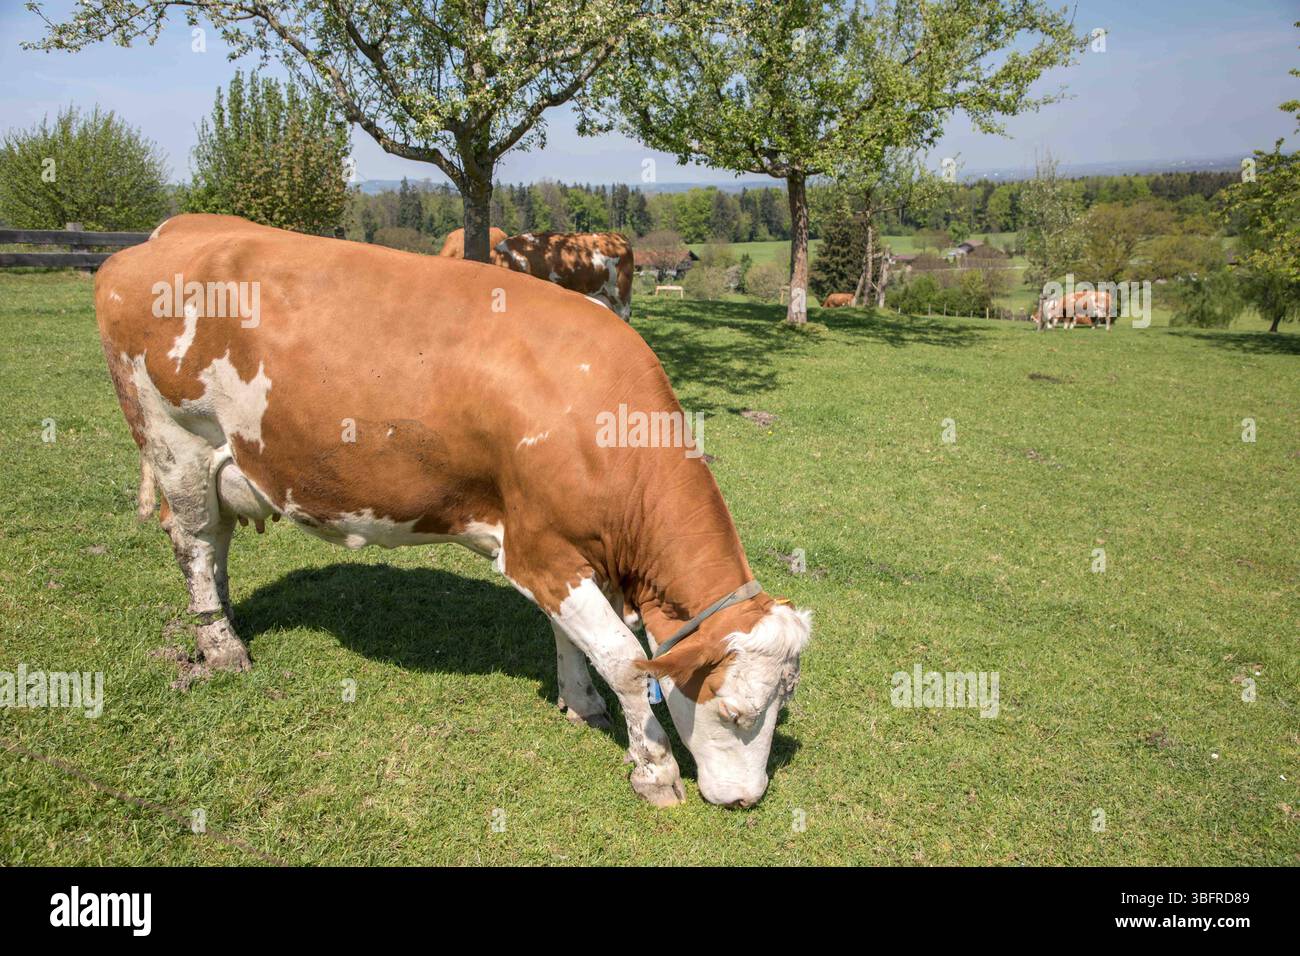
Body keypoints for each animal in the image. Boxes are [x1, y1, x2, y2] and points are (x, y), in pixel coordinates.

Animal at [96, 214, 810, 808]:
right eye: (737, 712)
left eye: (785, 704)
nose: (746, 800)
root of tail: (164, 236)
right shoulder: (539, 550)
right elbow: (624, 662)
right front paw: (654, 770)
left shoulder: (568, 553)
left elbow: (573, 640)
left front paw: (580, 702)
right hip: (175, 443)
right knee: (194, 540)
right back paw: (220, 646)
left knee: (215, 544)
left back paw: (221, 619)